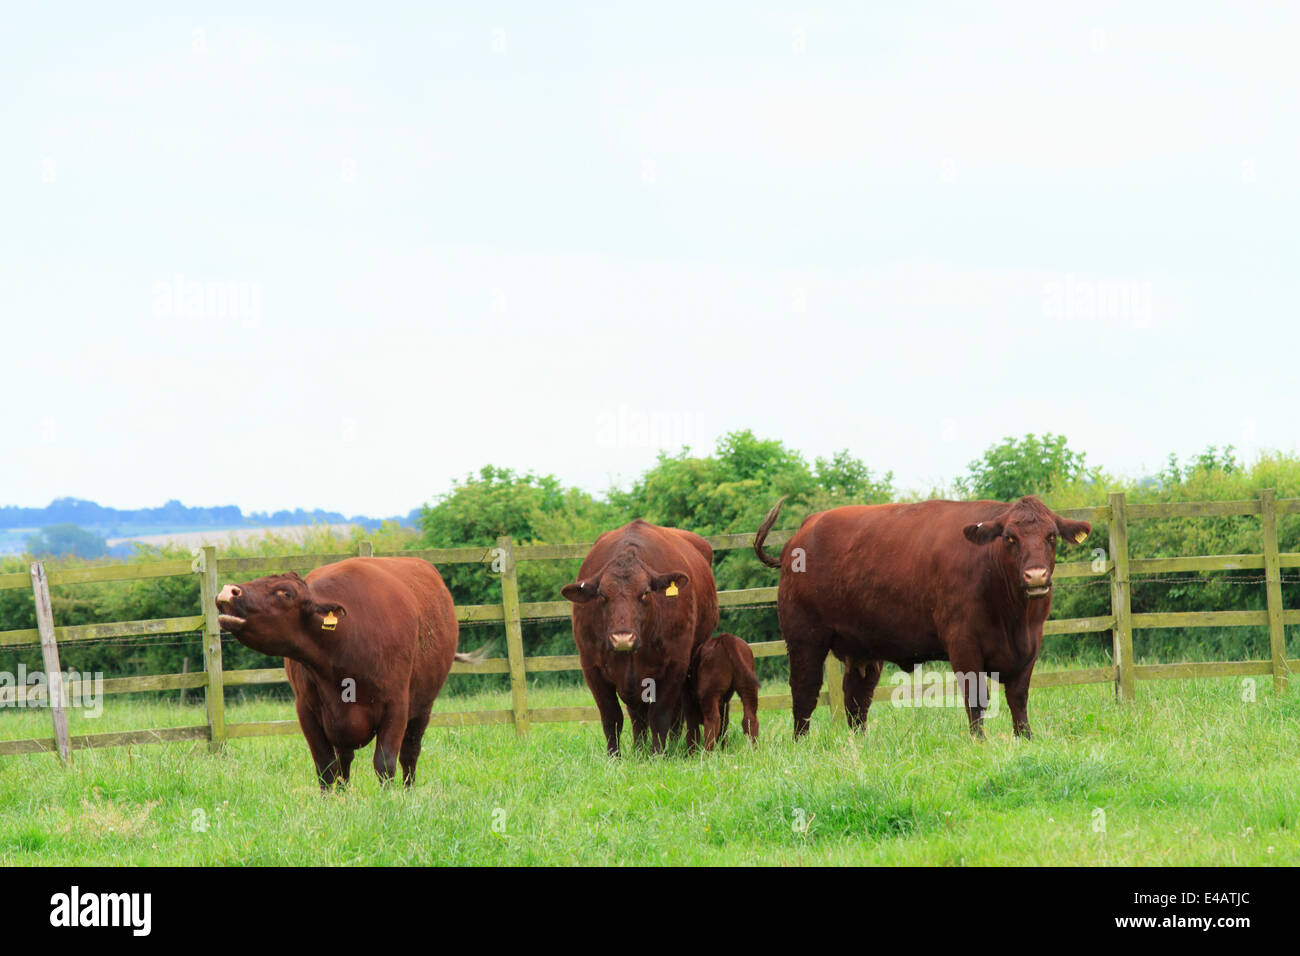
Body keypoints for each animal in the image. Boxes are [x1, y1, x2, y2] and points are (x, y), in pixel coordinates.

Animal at [214, 556, 483, 789]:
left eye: (285, 593)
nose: (229, 590)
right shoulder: (306, 711)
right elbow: (325, 766)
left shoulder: (397, 706)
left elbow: (385, 763)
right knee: (344, 760)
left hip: (423, 707)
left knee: (409, 754)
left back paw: (408, 791)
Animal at [561, 519, 718, 756]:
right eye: (602, 595)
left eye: (645, 593)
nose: (622, 638)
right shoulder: (592, 668)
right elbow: (612, 718)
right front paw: (614, 757)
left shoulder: (675, 663)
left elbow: (660, 715)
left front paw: (657, 755)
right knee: (637, 715)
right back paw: (639, 749)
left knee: (676, 711)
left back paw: (671, 745)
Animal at [754, 495, 1090, 739]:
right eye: (1009, 538)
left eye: (1051, 536)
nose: (1036, 575)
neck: (1014, 617)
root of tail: (803, 530)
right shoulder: (964, 645)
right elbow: (976, 697)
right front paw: (979, 741)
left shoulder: (1030, 646)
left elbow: (1018, 697)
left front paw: (1025, 738)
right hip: (805, 638)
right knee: (805, 691)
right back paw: (801, 742)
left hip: (863, 648)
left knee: (856, 698)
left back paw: (860, 743)